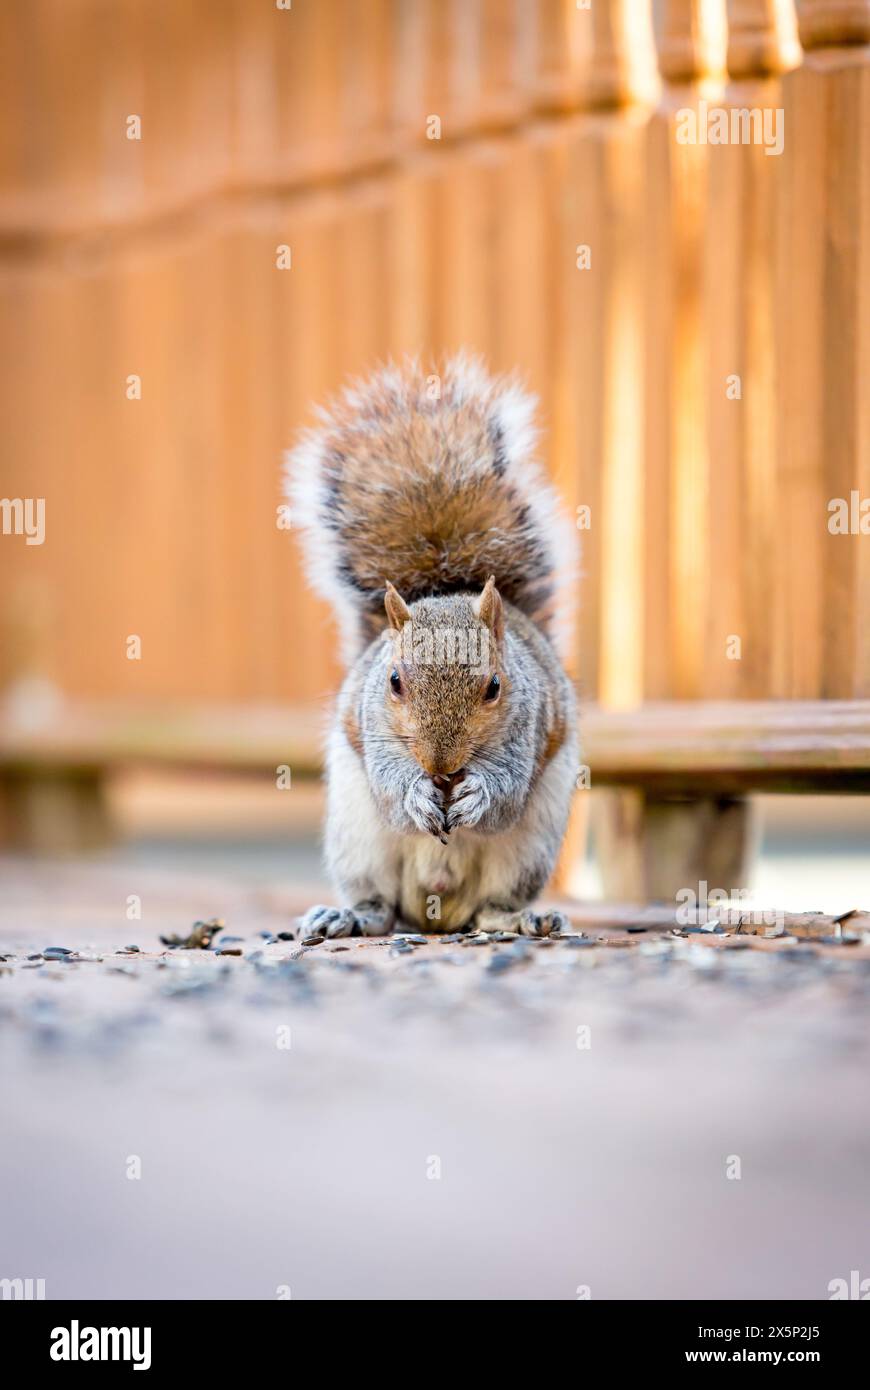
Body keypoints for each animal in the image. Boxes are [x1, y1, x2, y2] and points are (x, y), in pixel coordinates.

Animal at [286, 355, 579, 940]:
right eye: (394, 681)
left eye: (494, 687)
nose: (440, 764)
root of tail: (436, 909)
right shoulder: (372, 724)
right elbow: (390, 784)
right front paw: (417, 794)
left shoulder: (529, 726)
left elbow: (506, 792)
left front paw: (479, 794)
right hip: (358, 840)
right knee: (378, 904)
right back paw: (347, 914)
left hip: (529, 848)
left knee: (492, 907)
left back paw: (522, 917)